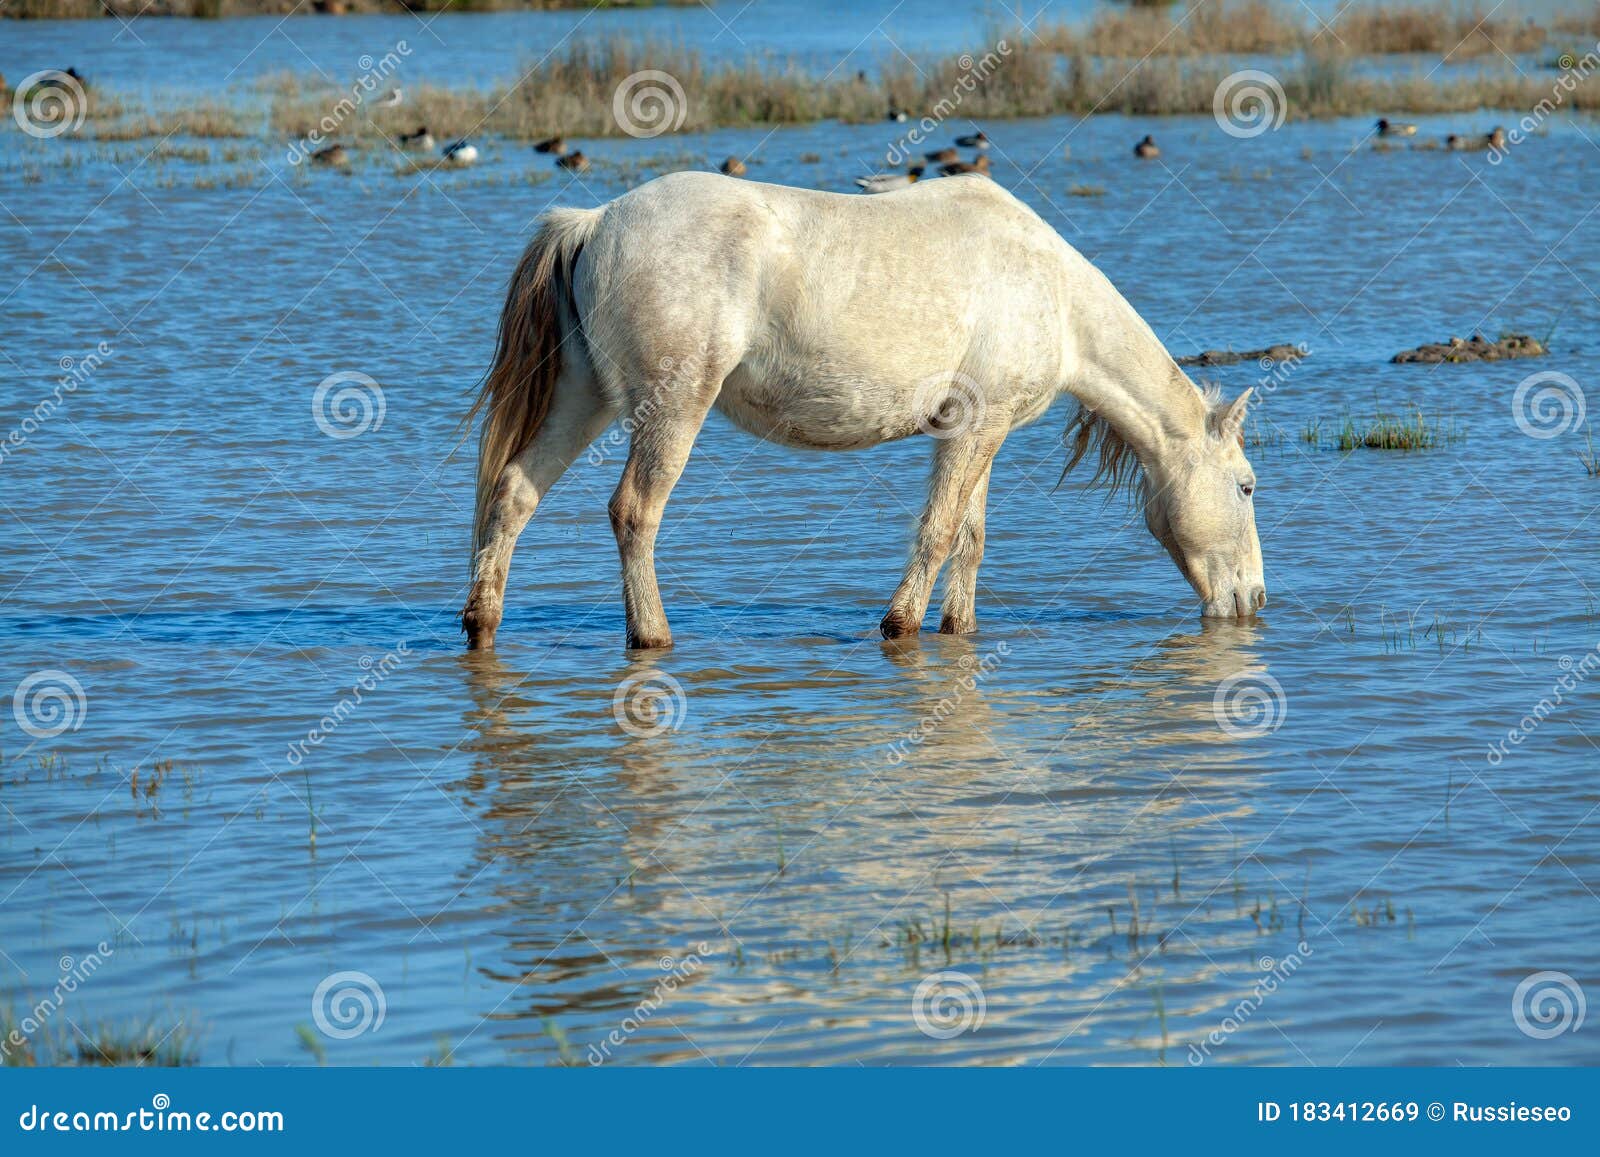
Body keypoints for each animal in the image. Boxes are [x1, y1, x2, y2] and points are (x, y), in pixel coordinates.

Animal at [461, 171, 1265, 651]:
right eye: (1247, 486)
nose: (1253, 599)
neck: (1054, 295)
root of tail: (594, 221)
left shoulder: (985, 433)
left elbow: (970, 538)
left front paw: (957, 628)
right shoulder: (974, 429)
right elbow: (938, 534)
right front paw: (900, 623)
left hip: (584, 398)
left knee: (514, 493)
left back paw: (481, 623)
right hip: (672, 408)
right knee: (634, 510)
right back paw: (652, 637)